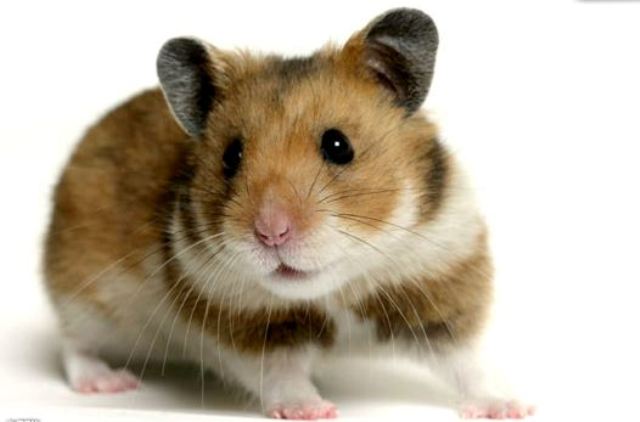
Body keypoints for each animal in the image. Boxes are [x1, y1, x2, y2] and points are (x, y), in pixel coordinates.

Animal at [43, 8, 533, 420]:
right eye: (231, 156)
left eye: (339, 145)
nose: (271, 233)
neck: (336, 289)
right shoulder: (248, 327)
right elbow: (280, 375)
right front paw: (316, 411)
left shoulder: (439, 287)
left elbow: (469, 362)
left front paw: (513, 408)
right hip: (84, 294)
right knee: (72, 344)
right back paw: (108, 383)